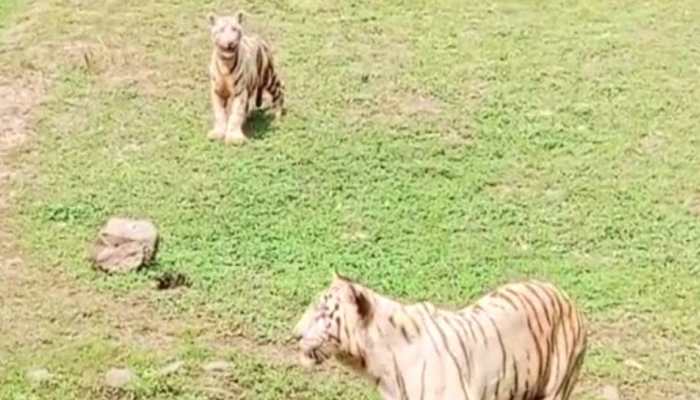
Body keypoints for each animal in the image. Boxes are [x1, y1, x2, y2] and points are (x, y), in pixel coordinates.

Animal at [207, 11, 285, 144]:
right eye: (221, 30)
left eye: (234, 29)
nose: (230, 42)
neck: (225, 63)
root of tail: (260, 39)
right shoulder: (217, 92)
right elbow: (219, 113)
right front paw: (218, 133)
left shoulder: (239, 92)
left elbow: (236, 113)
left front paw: (234, 137)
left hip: (268, 77)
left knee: (280, 90)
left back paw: (278, 117)